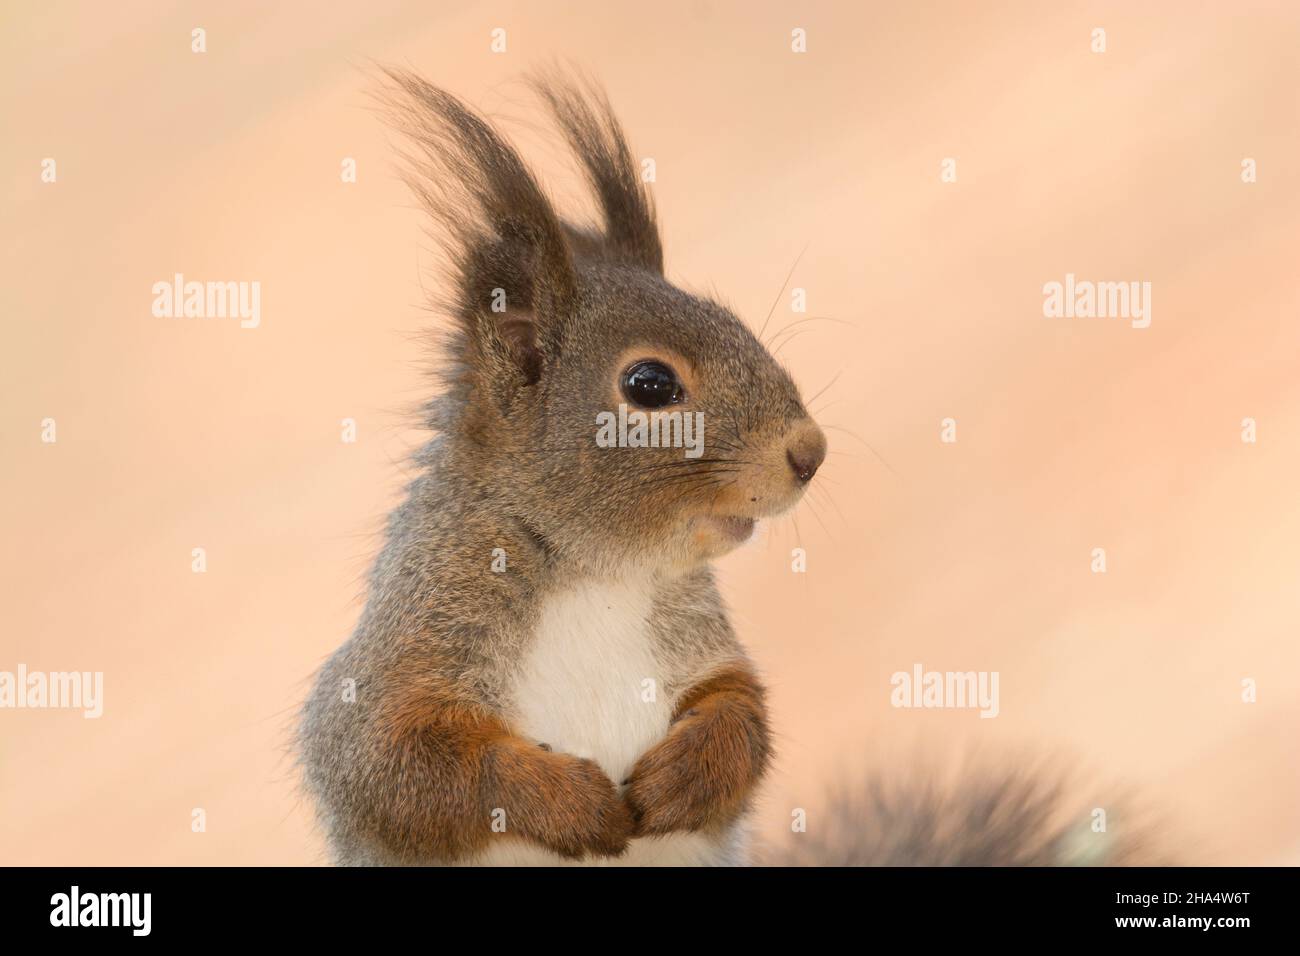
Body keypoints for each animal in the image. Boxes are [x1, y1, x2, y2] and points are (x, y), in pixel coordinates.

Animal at [299, 68, 1146, 867]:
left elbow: (741, 708)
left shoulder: (699, 643)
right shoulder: (410, 646)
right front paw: (568, 801)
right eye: (649, 385)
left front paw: (689, 775)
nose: (809, 452)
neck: (601, 573)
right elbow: (398, 768)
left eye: (734, 318)